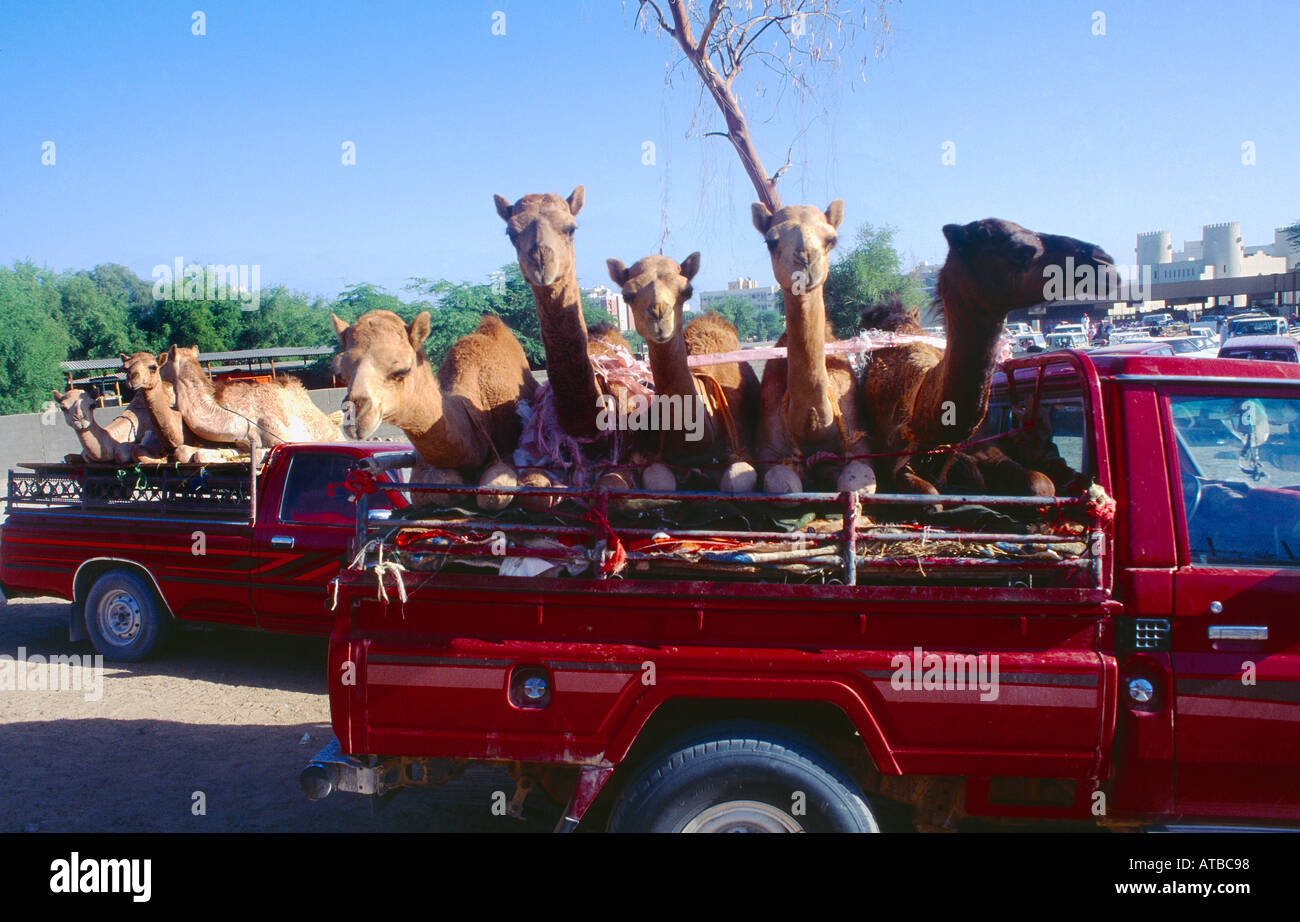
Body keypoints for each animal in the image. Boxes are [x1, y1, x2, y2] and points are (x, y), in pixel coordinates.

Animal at [751, 200, 876, 496]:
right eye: (771, 241)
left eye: (832, 239)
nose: (806, 258)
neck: (812, 428)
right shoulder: (768, 451)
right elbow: (783, 484)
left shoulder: (859, 442)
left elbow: (859, 482)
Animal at [861, 218, 1115, 495]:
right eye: (1018, 249)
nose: (1105, 263)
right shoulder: (896, 465)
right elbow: (930, 493)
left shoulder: (985, 448)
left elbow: (1039, 481)